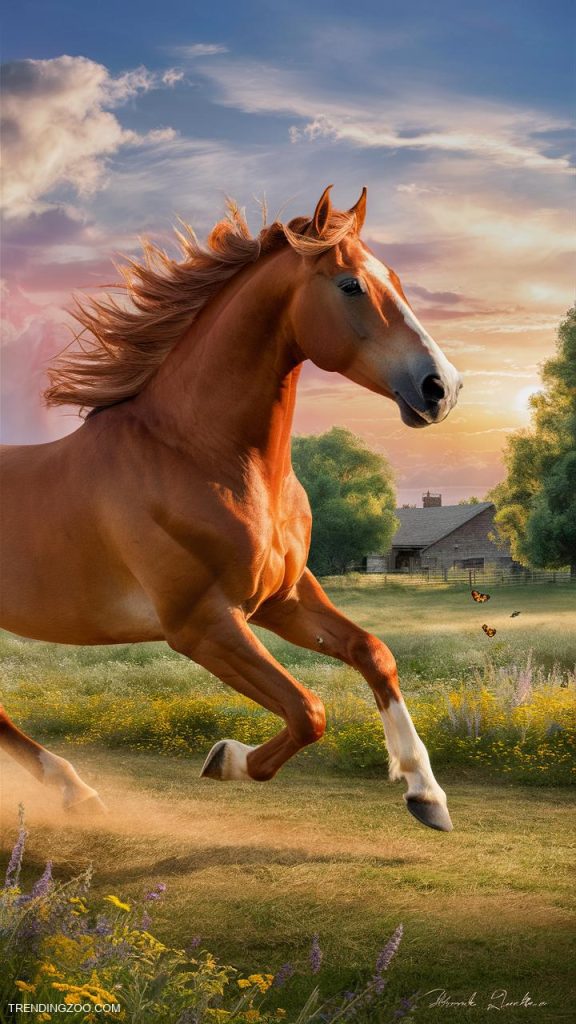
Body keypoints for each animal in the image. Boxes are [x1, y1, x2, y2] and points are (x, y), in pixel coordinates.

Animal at [0, 187, 462, 830]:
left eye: (394, 278)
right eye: (350, 285)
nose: (441, 388)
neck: (201, 457)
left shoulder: (281, 597)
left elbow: (372, 653)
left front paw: (426, 793)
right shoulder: (203, 625)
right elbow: (308, 711)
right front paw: (225, 758)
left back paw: (75, 790)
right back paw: (76, 790)